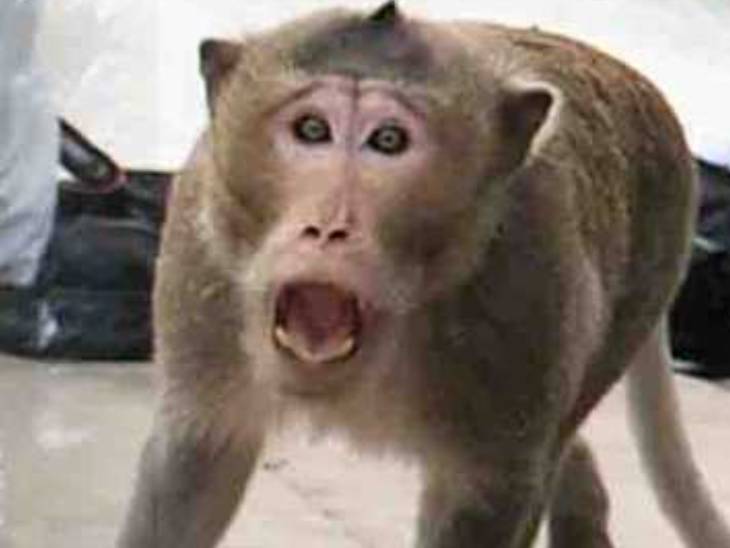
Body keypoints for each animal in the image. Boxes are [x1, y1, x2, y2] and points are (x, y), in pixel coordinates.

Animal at [117, 3, 730, 547]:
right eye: (312, 129)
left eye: (389, 140)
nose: (327, 228)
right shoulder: (201, 260)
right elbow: (196, 464)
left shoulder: (526, 292)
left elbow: (486, 499)